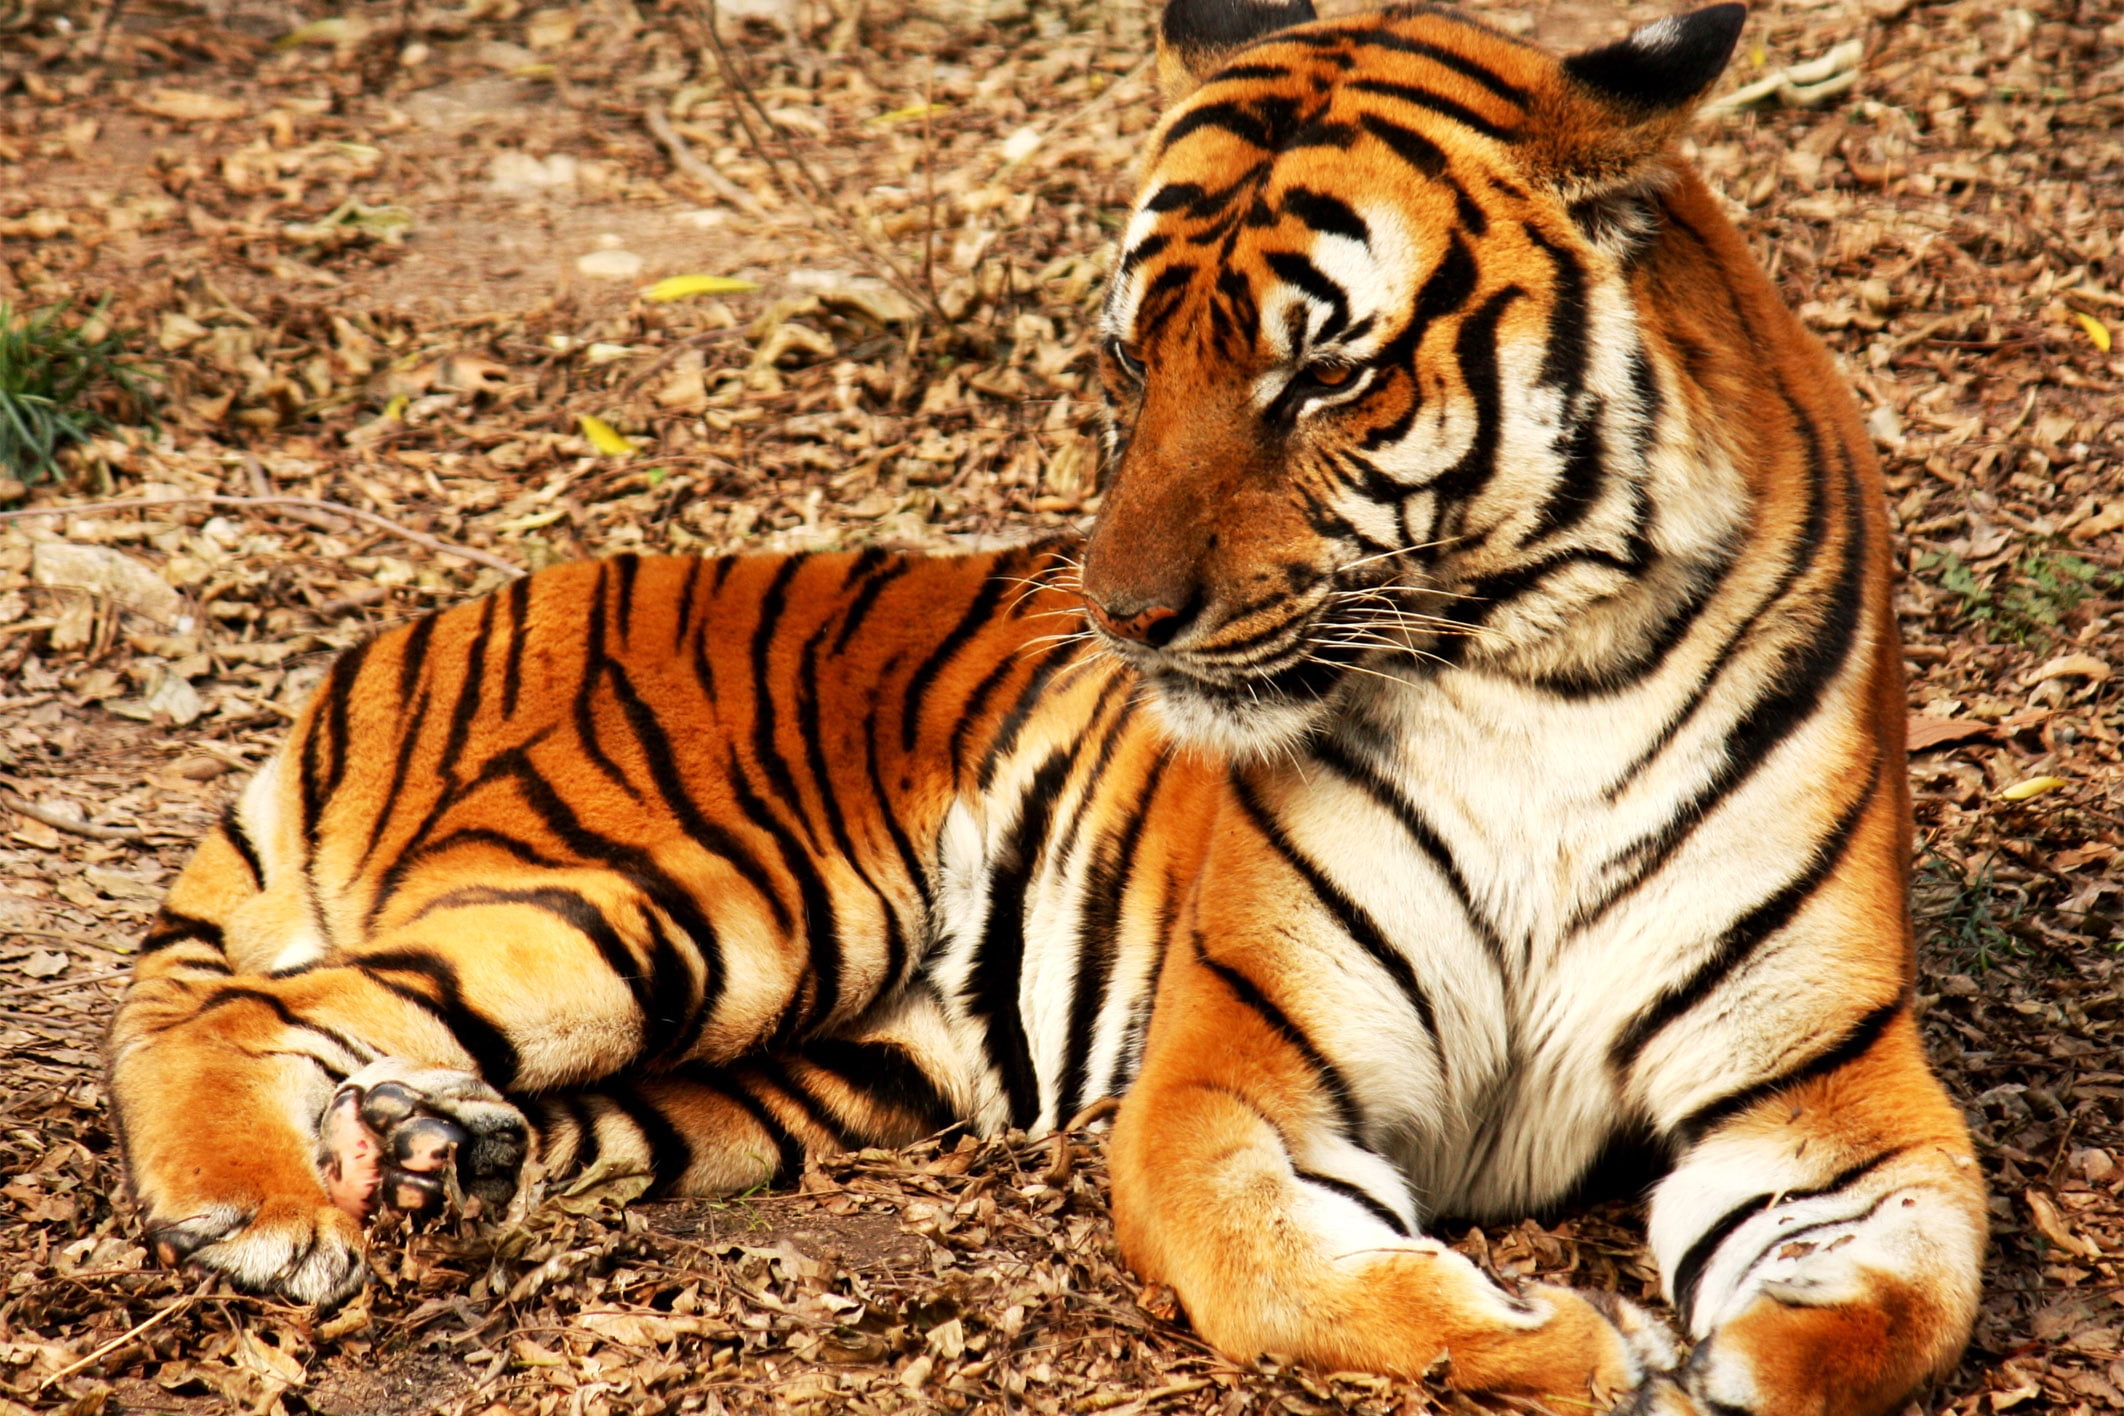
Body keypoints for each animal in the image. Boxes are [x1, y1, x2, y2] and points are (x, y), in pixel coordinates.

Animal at [107, 2, 1987, 1412]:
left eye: (1324, 371)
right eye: (1127, 359)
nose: (1123, 619)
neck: (1534, 674)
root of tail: (411, 634)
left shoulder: (1823, 1097)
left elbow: (1899, 1306)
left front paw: (1727, 1358)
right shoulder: (1235, 1080)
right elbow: (1303, 1277)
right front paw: (1579, 1347)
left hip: (832, 1062)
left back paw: (435, 1156)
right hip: (696, 900)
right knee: (249, 1006)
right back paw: (258, 1213)